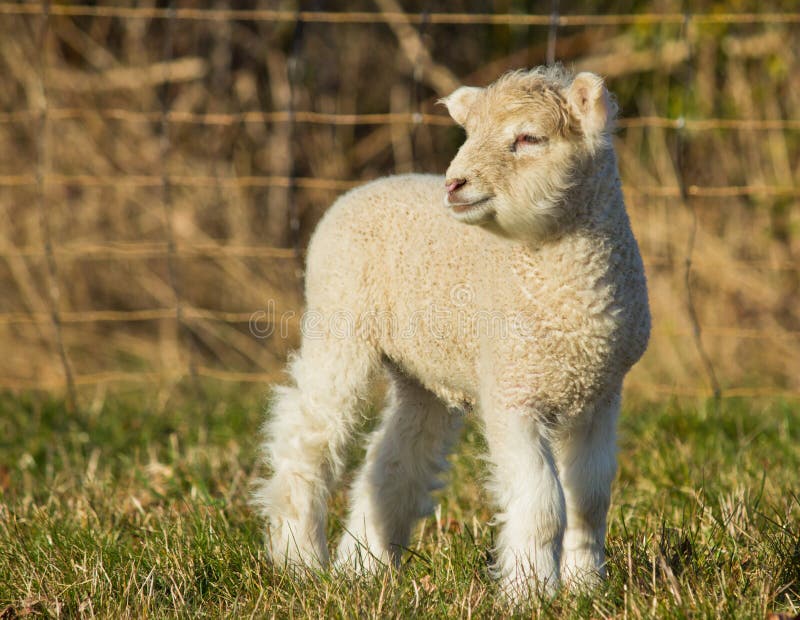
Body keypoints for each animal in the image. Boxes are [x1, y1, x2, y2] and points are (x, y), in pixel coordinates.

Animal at [253, 65, 650, 600]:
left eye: (529, 138)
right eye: (470, 134)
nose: (454, 183)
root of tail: (368, 186)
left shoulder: (600, 394)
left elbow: (589, 499)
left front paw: (587, 587)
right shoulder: (510, 390)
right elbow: (542, 502)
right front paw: (530, 591)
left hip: (421, 373)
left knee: (392, 463)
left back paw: (362, 568)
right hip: (337, 325)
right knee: (307, 441)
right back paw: (299, 559)